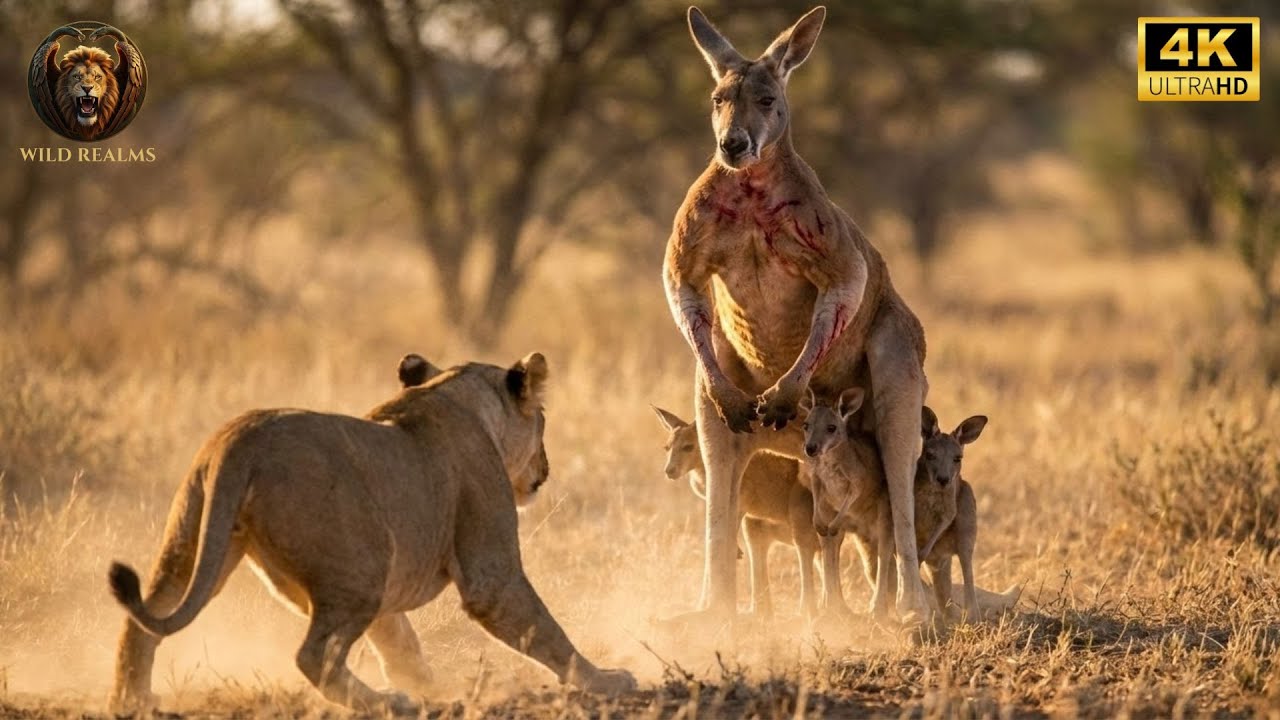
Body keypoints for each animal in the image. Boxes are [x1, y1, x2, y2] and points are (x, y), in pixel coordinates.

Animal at [107, 352, 636, 713]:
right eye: (544, 421)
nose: (545, 469)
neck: (452, 392)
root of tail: (241, 439)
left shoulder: (394, 571)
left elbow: (399, 639)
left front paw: (431, 687)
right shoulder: (490, 570)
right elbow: (543, 628)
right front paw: (605, 680)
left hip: (189, 548)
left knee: (142, 625)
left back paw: (133, 702)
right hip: (358, 570)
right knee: (313, 655)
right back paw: (387, 703)